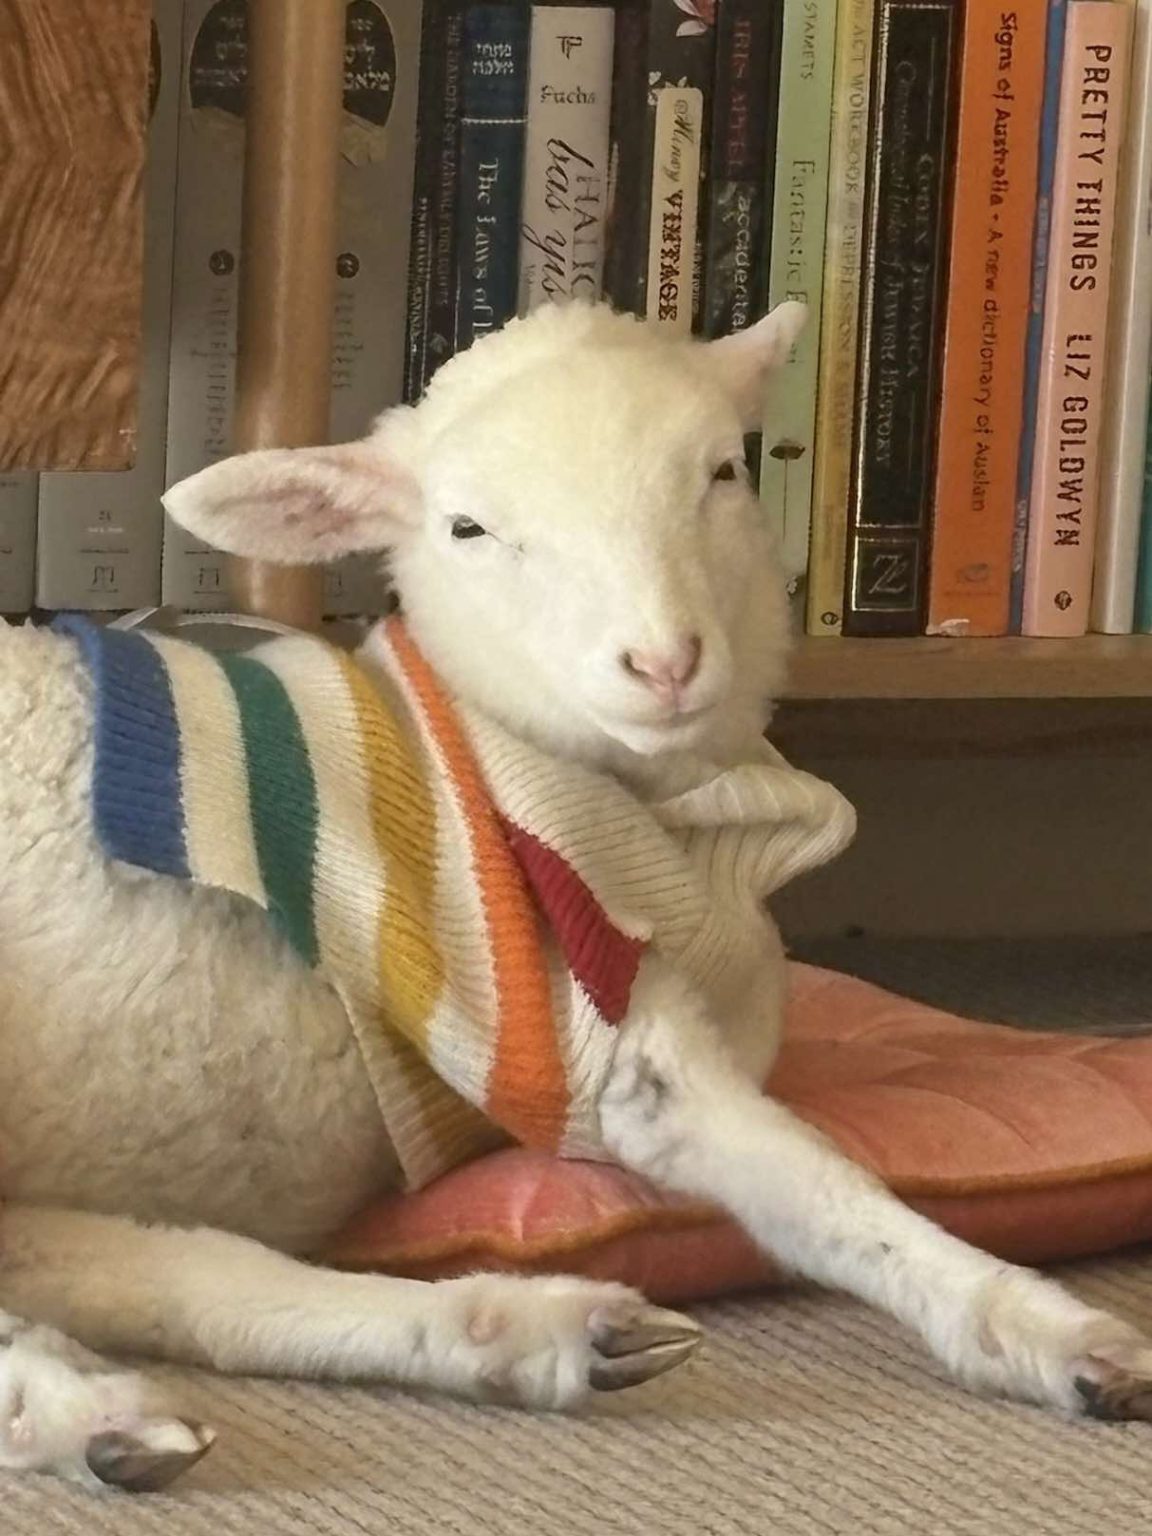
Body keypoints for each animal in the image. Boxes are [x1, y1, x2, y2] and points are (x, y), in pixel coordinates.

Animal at [2, 300, 1151, 1495]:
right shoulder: (578, 1024)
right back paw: (77, 1407)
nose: (664, 662)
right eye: (466, 528)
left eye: (724, 471)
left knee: (143, 1269)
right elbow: (826, 1187)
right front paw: (1047, 1328)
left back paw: (506, 1337)